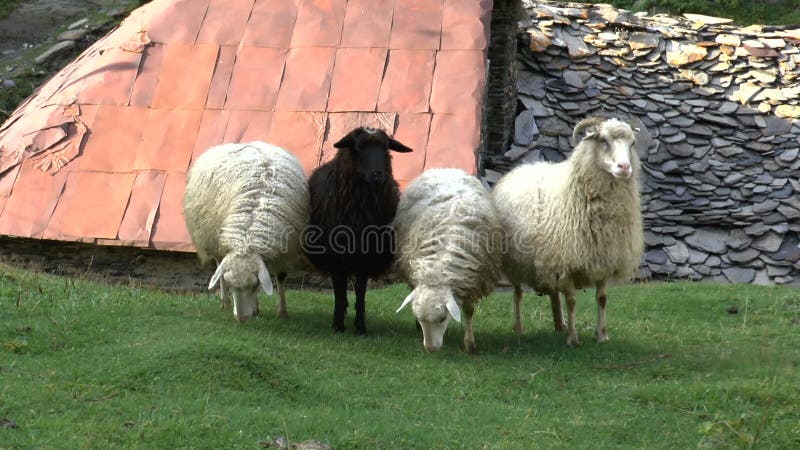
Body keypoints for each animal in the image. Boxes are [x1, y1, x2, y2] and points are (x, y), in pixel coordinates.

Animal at [183, 141, 309, 322]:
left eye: (255, 284)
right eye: (232, 286)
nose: (241, 319)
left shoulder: (286, 251)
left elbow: (280, 277)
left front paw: (282, 311)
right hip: (213, 239)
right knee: (219, 266)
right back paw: (226, 302)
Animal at [304, 127, 412, 334]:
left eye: (386, 148)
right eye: (359, 147)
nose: (378, 175)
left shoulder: (366, 256)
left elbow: (361, 291)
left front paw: (360, 326)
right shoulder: (336, 257)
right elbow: (339, 291)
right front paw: (338, 323)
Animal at [393, 168, 503, 353]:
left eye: (442, 318)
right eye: (420, 318)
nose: (431, 349)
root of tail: (445, 169)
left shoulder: (472, 279)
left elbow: (468, 311)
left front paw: (469, 344)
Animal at [491, 117, 644, 347]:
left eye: (632, 143)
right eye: (603, 140)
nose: (625, 167)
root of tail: (522, 168)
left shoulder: (605, 260)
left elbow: (602, 299)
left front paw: (602, 335)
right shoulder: (568, 262)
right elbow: (571, 301)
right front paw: (573, 338)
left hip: (548, 259)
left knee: (554, 293)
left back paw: (559, 324)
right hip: (515, 261)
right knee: (518, 293)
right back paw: (519, 327)